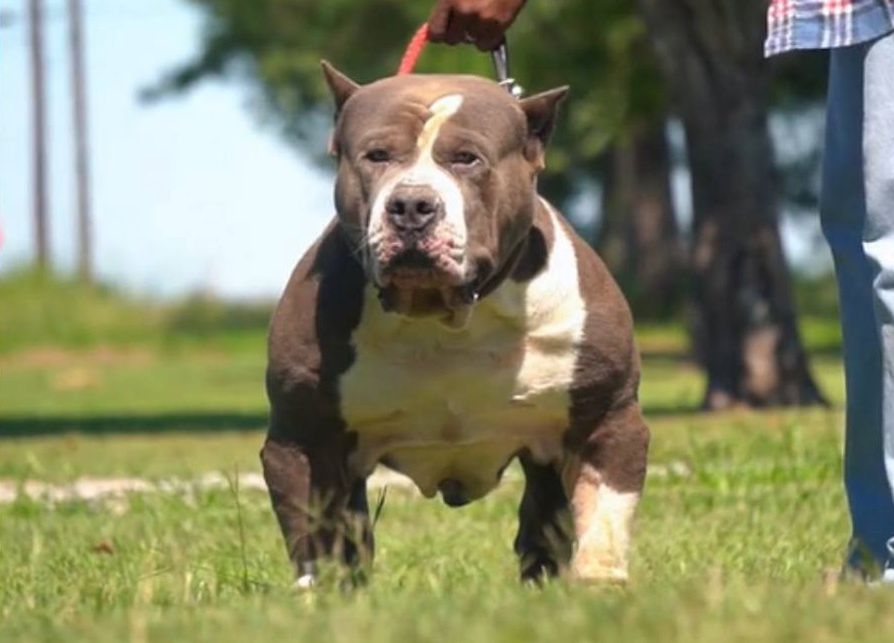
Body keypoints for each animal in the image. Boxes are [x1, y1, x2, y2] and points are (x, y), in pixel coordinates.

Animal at [260, 61, 652, 588]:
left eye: (467, 159)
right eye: (377, 155)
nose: (411, 204)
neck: (442, 315)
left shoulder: (607, 419)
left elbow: (604, 521)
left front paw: (600, 588)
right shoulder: (302, 438)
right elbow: (314, 539)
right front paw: (318, 597)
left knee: (545, 522)